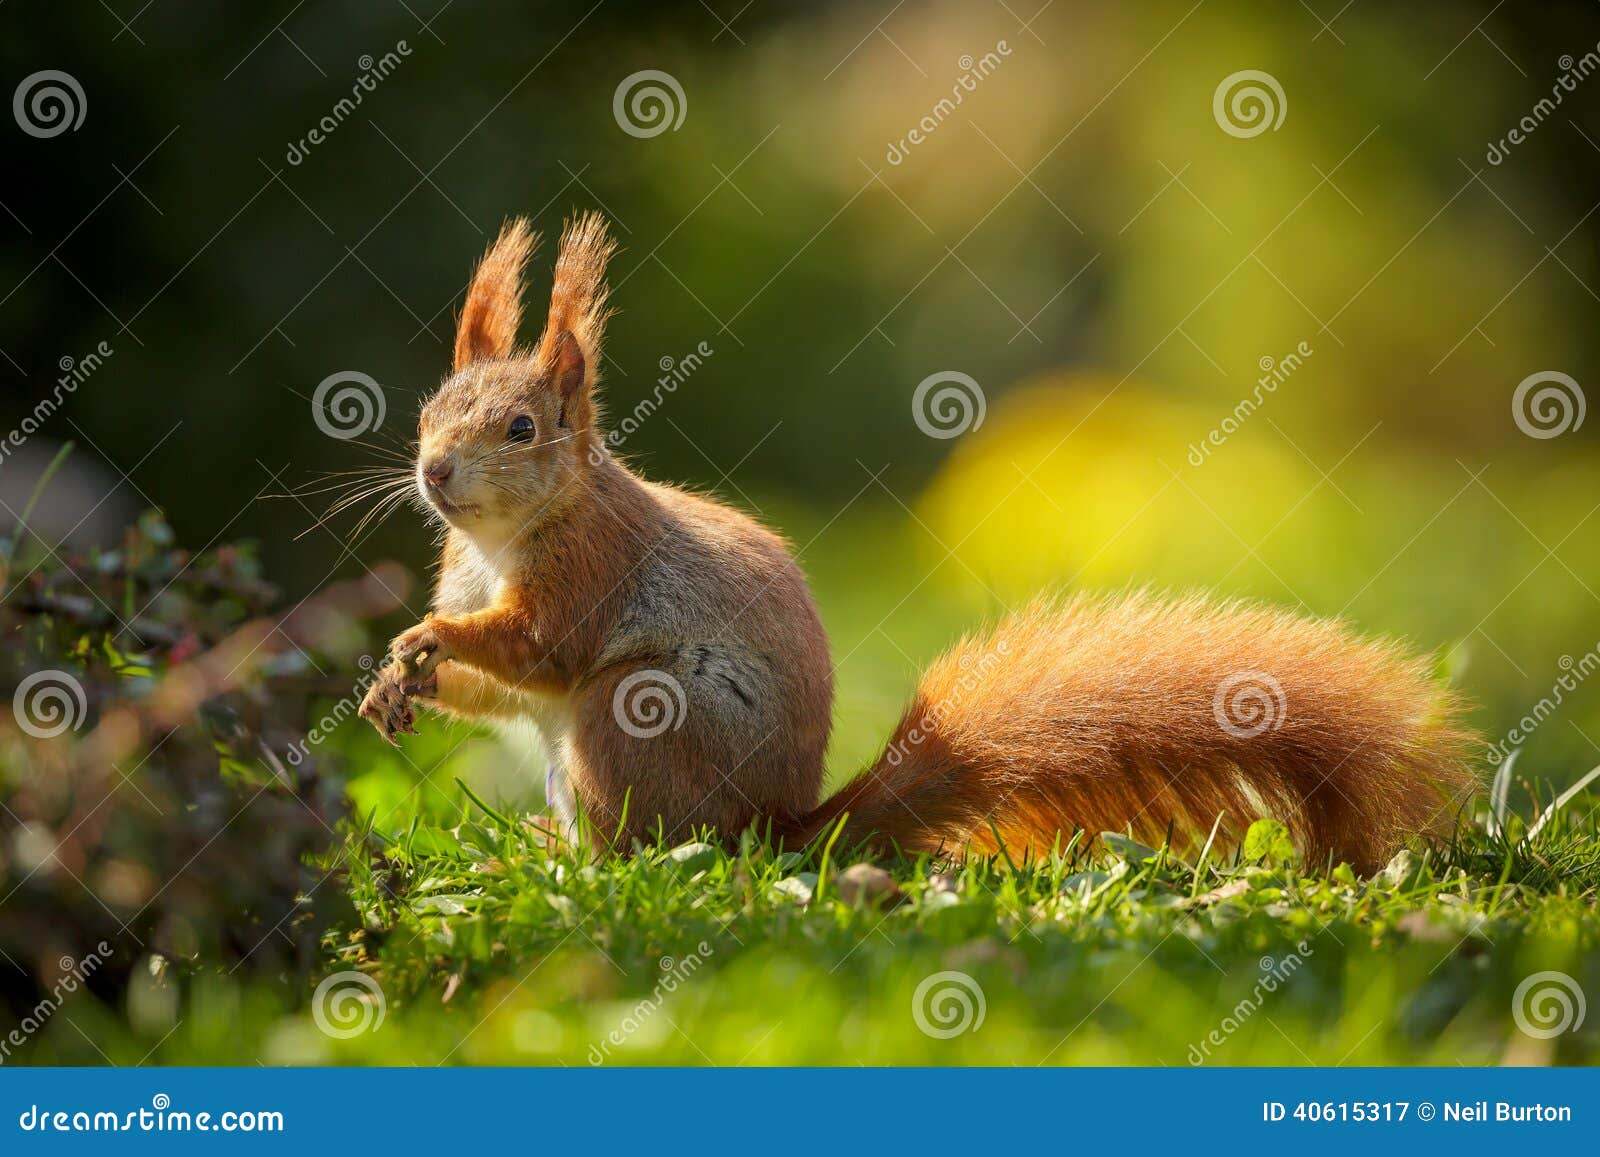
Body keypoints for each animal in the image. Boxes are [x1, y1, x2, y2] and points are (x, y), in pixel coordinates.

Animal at [357, 213, 1480, 873]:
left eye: (520, 429)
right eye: (428, 411)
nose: (434, 474)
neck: (503, 540)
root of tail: (781, 826)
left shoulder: (589, 570)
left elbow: (539, 646)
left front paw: (419, 645)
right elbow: (497, 689)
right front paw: (391, 678)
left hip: (634, 718)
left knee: (644, 839)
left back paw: (567, 854)